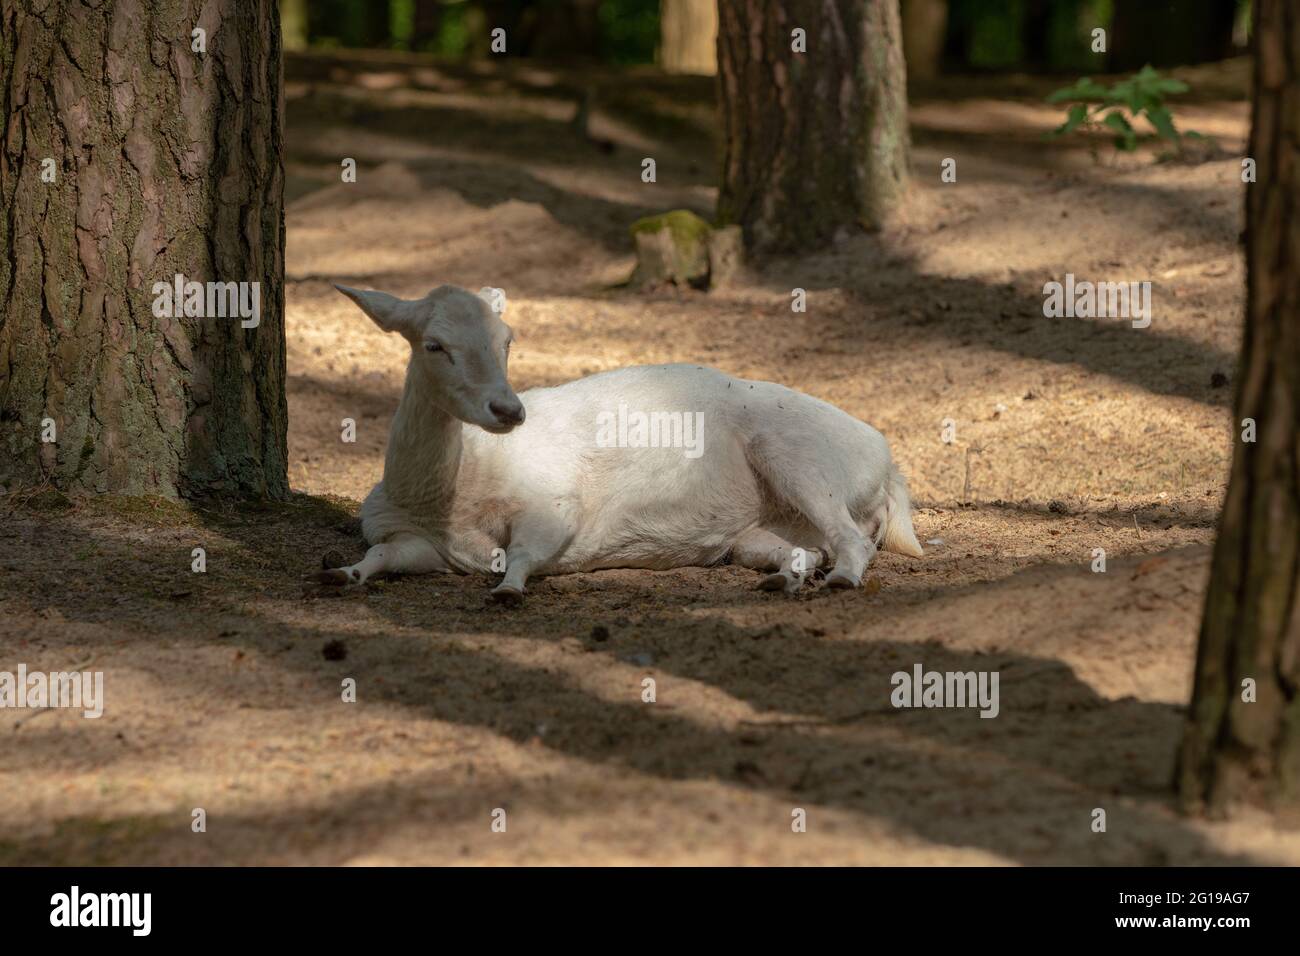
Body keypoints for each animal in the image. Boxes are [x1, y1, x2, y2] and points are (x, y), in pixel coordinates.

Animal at [322, 283, 924, 604]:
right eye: (434, 345)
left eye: (507, 339)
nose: (509, 410)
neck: (447, 495)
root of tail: (888, 465)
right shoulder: (409, 537)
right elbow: (382, 553)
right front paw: (342, 573)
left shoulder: (556, 505)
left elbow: (522, 552)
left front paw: (507, 591)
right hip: (755, 533)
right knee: (803, 548)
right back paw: (787, 580)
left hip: (803, 461)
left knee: (855, 540)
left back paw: (841, 580)